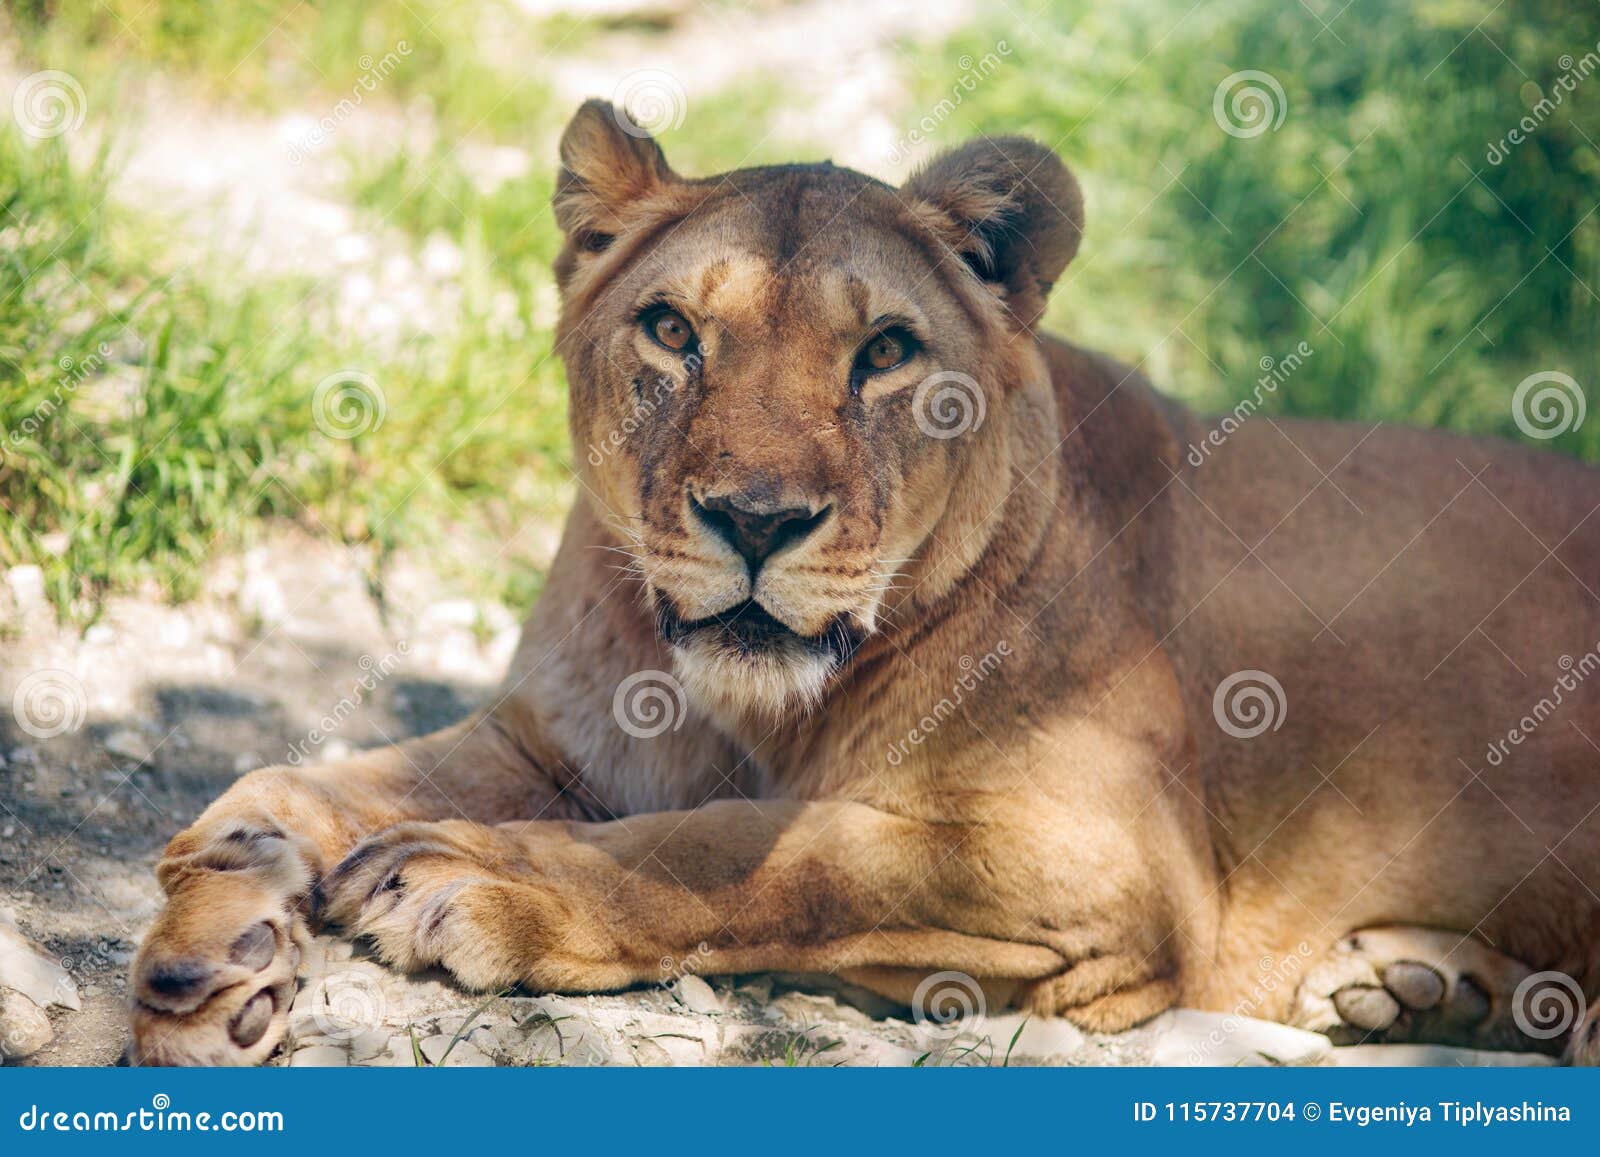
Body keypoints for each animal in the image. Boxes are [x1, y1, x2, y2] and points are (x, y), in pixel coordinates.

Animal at [128, 100, 1600, 1066]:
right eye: (672, 329)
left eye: (885, 352)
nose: (756, 519)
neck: (740, 706)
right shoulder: (546, 745)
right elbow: (297, 781)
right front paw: (213, 947)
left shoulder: (1111, 861)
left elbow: (763, 849)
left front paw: (465, 878)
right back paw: (1428, 991)